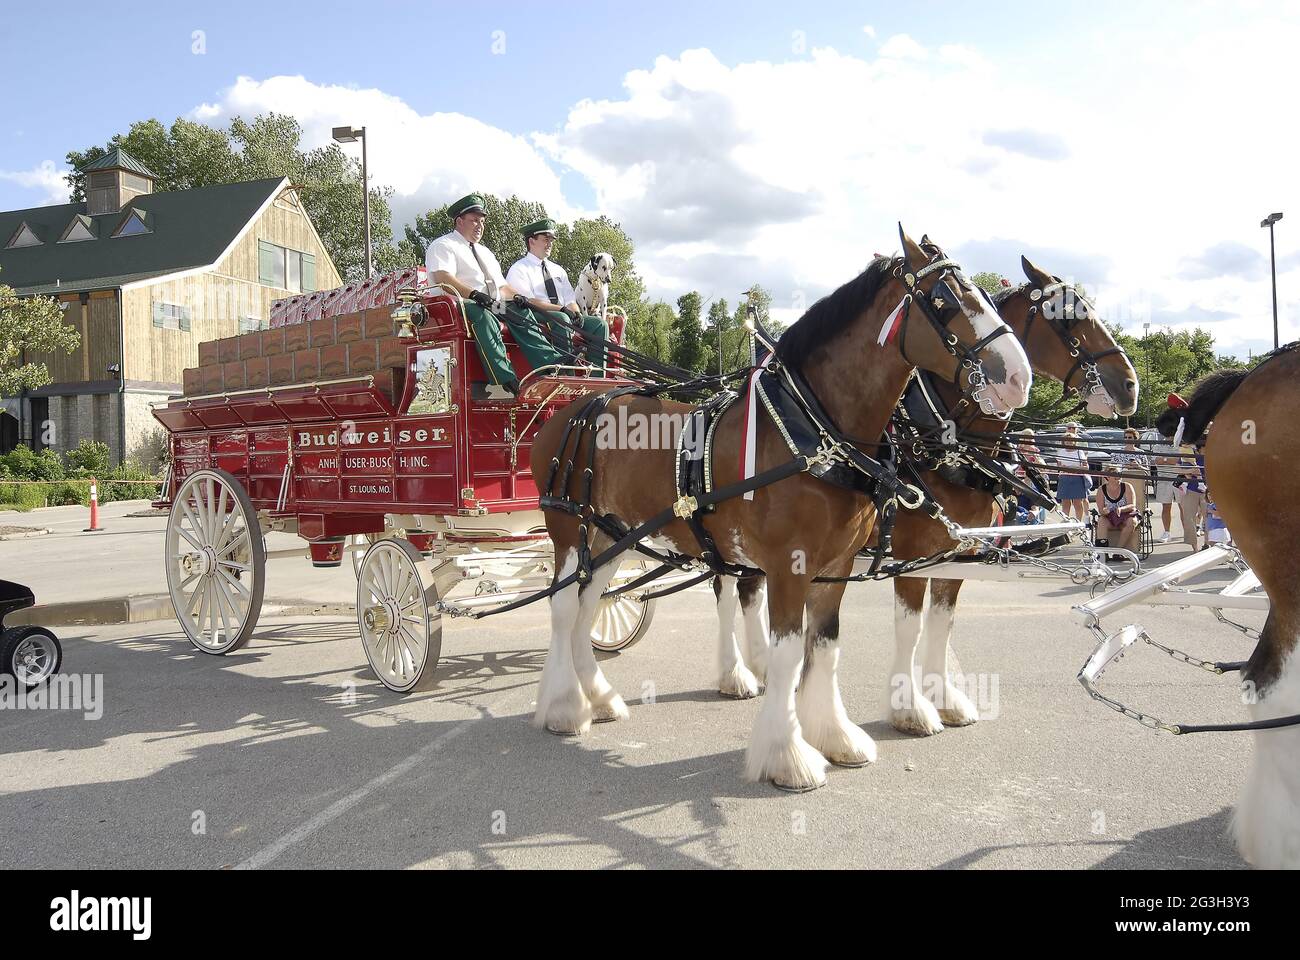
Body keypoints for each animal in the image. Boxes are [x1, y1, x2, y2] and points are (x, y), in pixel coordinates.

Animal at [530, 229, 1033, 791]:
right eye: (944, 301)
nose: (1018, 377)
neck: (814, 433)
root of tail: (574, 405)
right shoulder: (792, 565)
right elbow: (791, 652)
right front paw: (787, 755)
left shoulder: (837, 566)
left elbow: (826, 646)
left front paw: (834, 736)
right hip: (568, 528)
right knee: (564, 607)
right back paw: (565, 707)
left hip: (611, 535)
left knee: (590, 604)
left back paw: (598, 697)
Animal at [711, 257, 1140, 718]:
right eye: (1071, 314)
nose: (1130, 386)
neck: (936, 438)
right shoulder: (911, 554)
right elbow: (910, 627)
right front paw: (910, 709)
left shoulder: (955, 553)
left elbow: (941, 622)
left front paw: (945, 699)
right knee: (726, 592)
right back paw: (735, 674)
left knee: (748, 589)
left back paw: (760, 666)